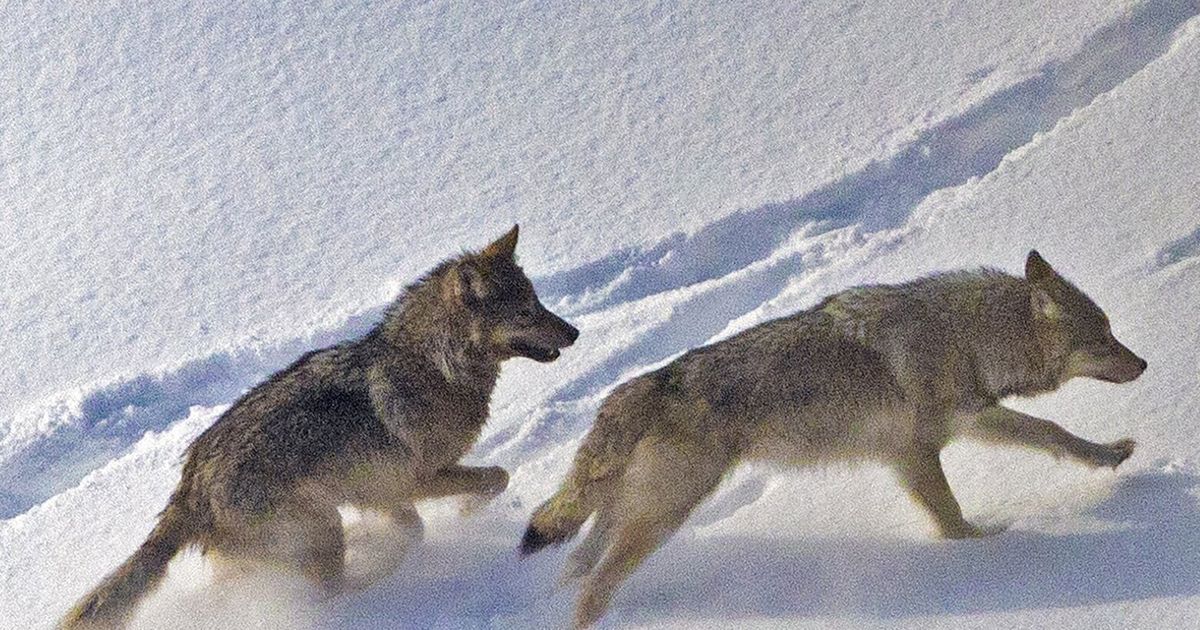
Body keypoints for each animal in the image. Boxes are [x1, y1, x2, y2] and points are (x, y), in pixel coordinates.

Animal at [60, 225, 578, 630]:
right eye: (527, 311)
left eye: (539, 302)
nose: (574, 332)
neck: (434, 365)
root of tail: (190, 489)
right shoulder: (413, 480)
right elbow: (494, 478)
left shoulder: (383, 492)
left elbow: (442, 511)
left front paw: (461, 515)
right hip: (323, 526)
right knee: (327, 591)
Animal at [521, 250, 1145, 628]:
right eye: (1105, 338)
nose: (1144, 364)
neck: (964, 337)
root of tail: (636, 390)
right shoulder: (919, 452)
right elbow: (956, 516)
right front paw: (984, 549)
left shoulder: (958, 428)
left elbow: (1050, 432)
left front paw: (1110, 455)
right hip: (662, 518)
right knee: (592, 590)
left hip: (626, 515)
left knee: (574, 570)